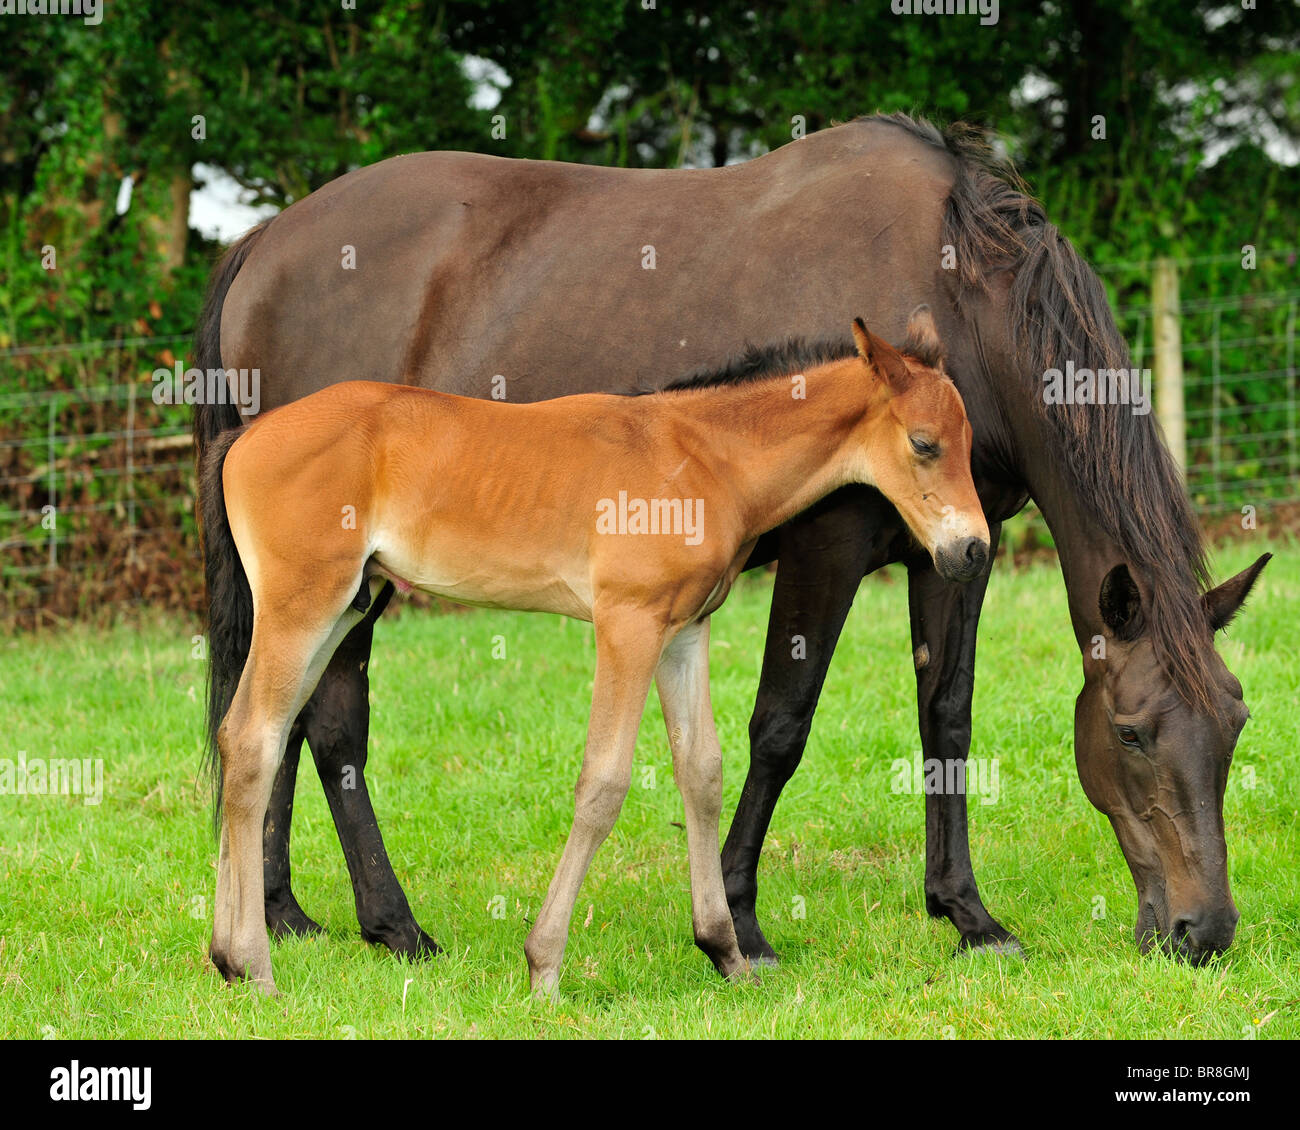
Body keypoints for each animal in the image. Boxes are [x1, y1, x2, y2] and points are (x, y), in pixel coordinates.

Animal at [199, 314, 990, 995]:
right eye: (925, 443)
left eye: (970, 441)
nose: (972, 551)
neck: (700, 457)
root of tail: (246, 437)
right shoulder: (627, 626)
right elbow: (604, 783)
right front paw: (544, 965)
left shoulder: (683, 633)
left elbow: (702, 773)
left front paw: (726, 952)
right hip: (304, 609)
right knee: (254, 742)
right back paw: (257, 967)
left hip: (342, 608)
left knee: (245, 739)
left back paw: (227, 958)